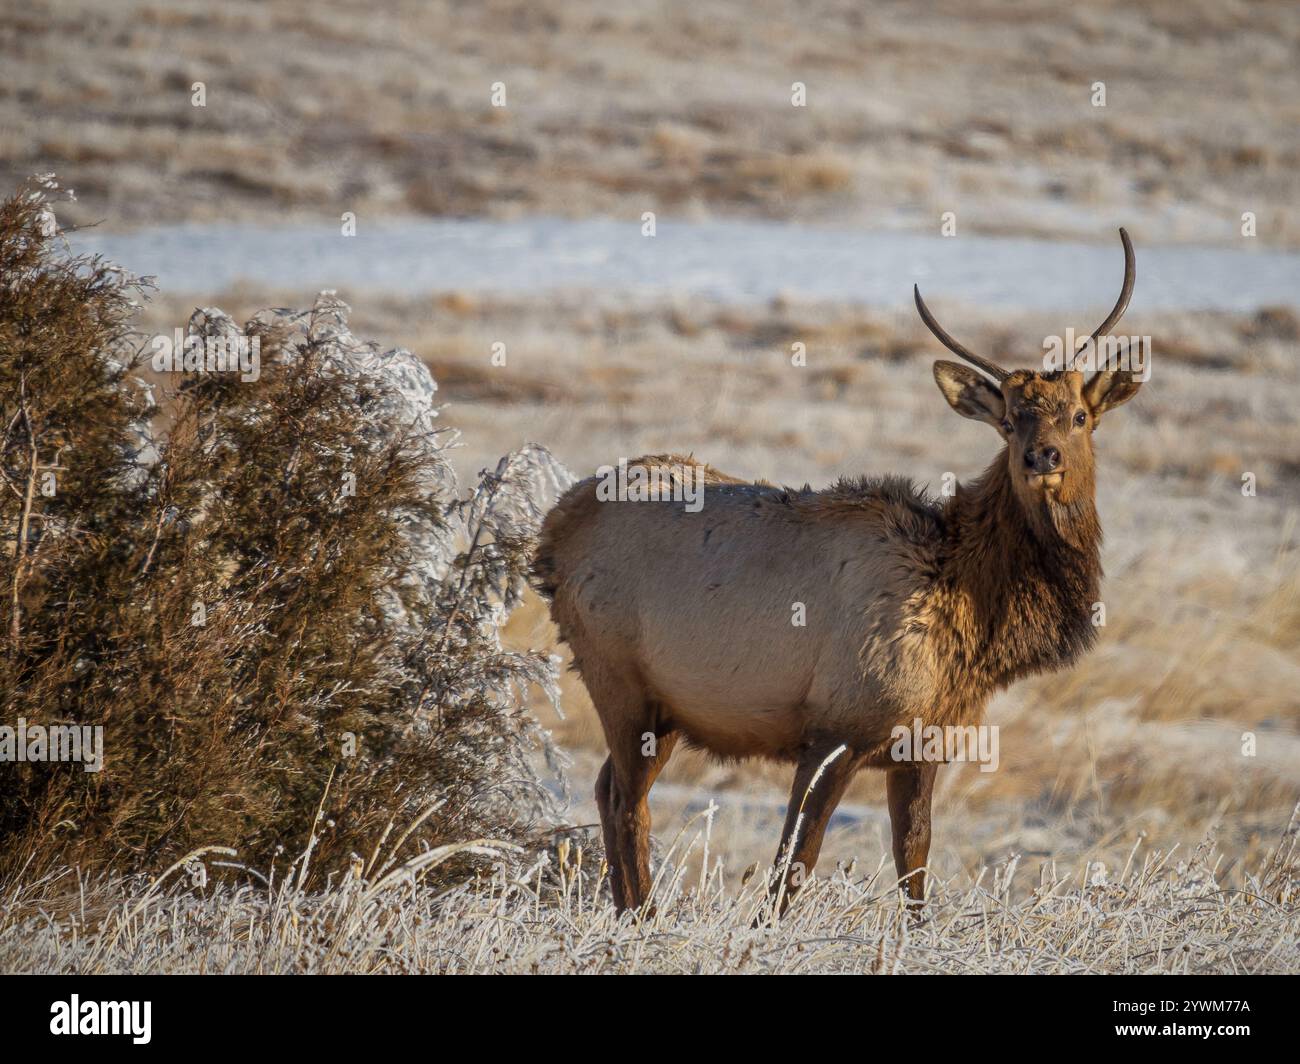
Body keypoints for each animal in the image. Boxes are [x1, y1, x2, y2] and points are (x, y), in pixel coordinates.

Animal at [533, 229, 1143, 916]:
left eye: (1080, 417)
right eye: (1010, 421)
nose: (1044, 457)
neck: (970, 607)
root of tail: (552, 533)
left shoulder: (922, 741)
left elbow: (914, 865)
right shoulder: (837, 726)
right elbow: (792, 866)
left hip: (667, 710)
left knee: (606, 785)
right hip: (618, 680)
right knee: (624, 799)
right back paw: (642, 916)